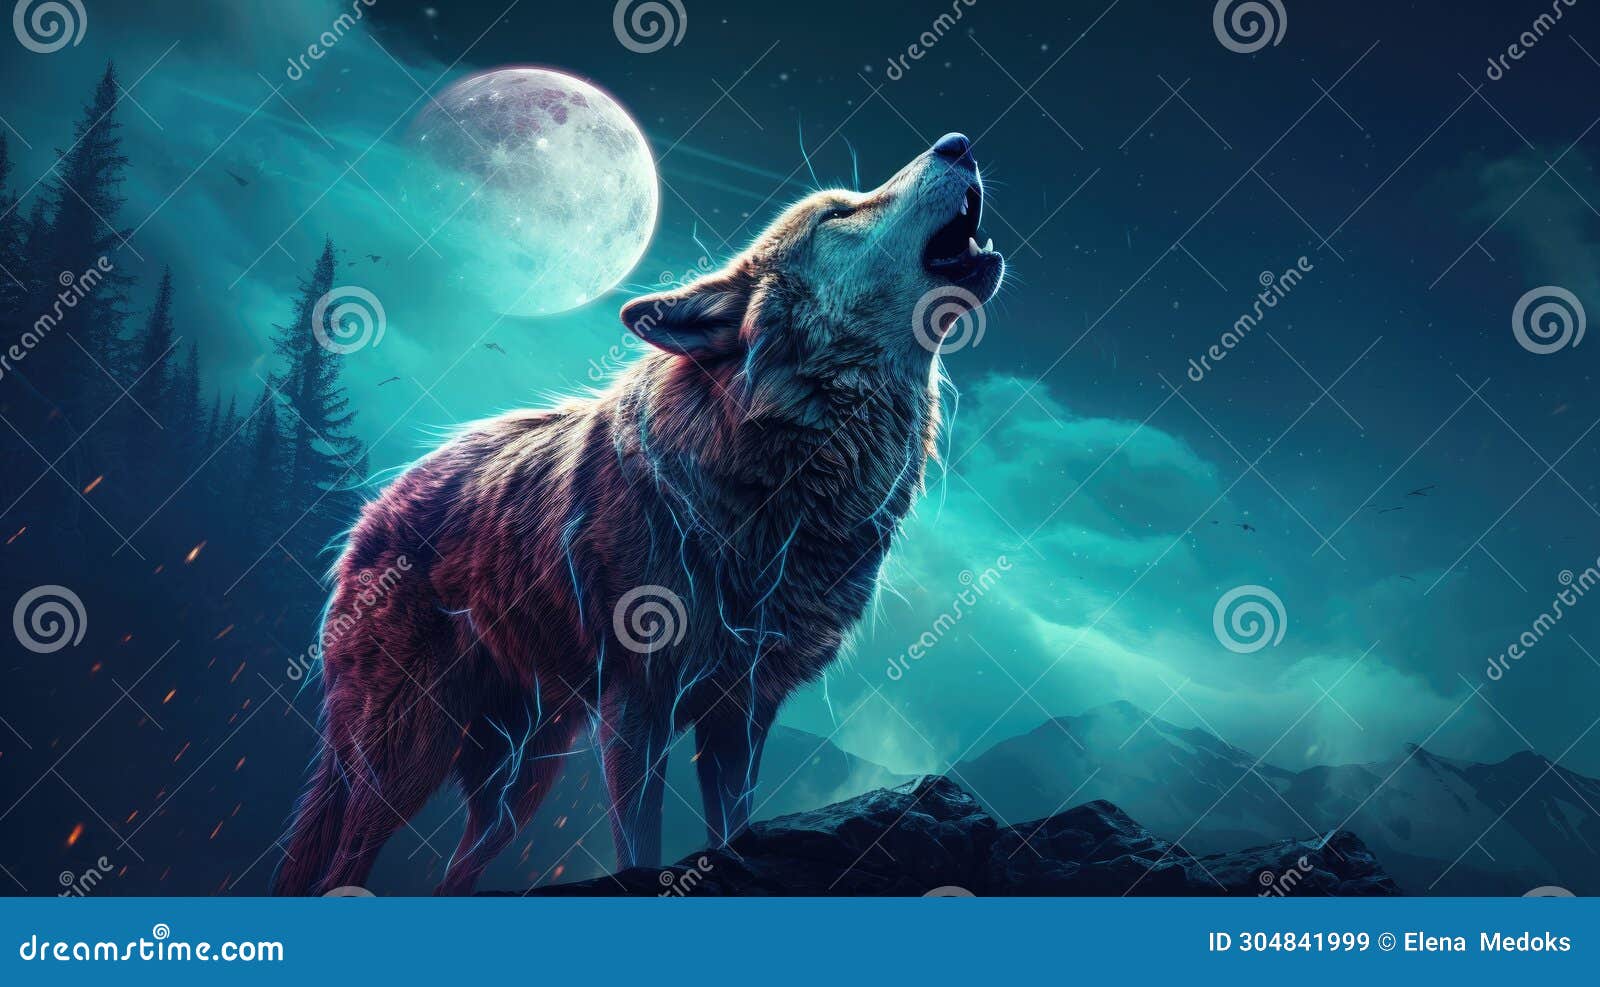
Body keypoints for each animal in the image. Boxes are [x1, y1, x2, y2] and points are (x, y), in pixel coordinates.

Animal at [273, 133, 1004, 895]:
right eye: (840, 213)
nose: (958, 142)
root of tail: (373, 509)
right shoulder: (639, 706)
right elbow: (640, 848)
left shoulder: (743, 713)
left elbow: (733, 830)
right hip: (410, 755)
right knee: (343, 866)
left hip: (522, 780)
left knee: (455, 871)